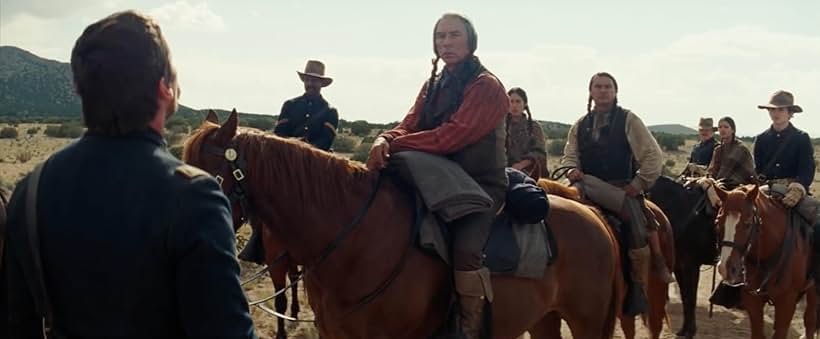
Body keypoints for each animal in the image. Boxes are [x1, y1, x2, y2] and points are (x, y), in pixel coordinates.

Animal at [648, 177, 716, 338]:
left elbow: (691, 298)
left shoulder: (691, 266)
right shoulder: (680, 266)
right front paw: (685, 330)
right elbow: (685, 297)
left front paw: (691, 331)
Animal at [716, 186, 816, 339]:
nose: (726, 269)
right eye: (718, 222)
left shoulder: (786, 303)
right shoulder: (752, 301)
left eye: (747, 224)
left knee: (810, 321)